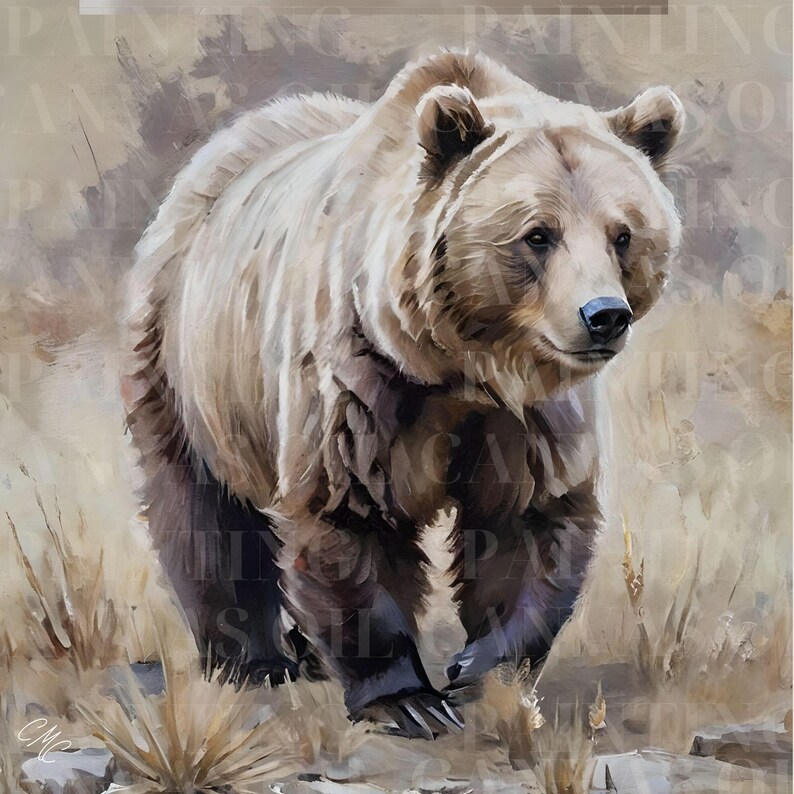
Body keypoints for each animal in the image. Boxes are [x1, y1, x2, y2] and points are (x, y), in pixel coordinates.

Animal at [124, 51, 684, 739]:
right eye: (538, 234)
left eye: (622, 233)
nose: (603, 315)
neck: (460, 365)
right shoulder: (360, 382)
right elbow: (347, 518)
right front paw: (407, 698)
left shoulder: (527, 419)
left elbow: (528, 522)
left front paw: (484, 670)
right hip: (187, 363)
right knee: (204, 513)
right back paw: (250, 659)